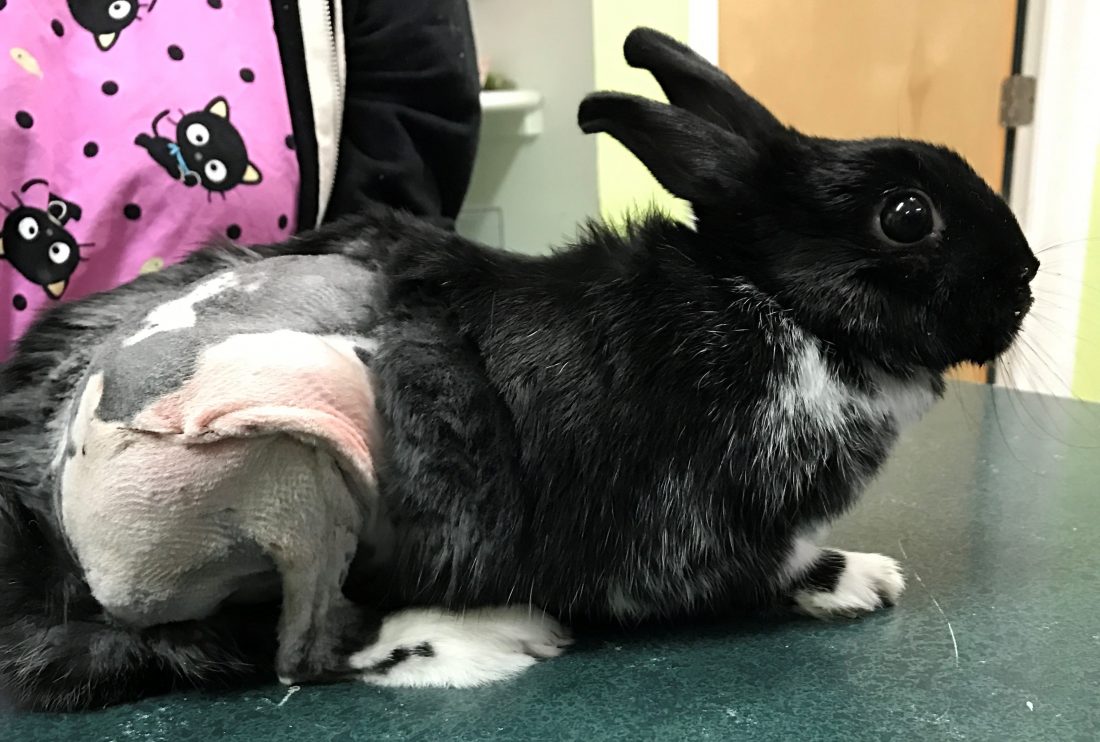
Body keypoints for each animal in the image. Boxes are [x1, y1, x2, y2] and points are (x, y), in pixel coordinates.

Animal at [0, 27, 1038, 711]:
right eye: (906, 214)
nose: (1027, 277)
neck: (781, 307)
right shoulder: (690, 535)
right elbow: (766, 574)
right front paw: (865, 577)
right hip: (293, 459)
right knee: (303, 648)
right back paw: (487, 638)